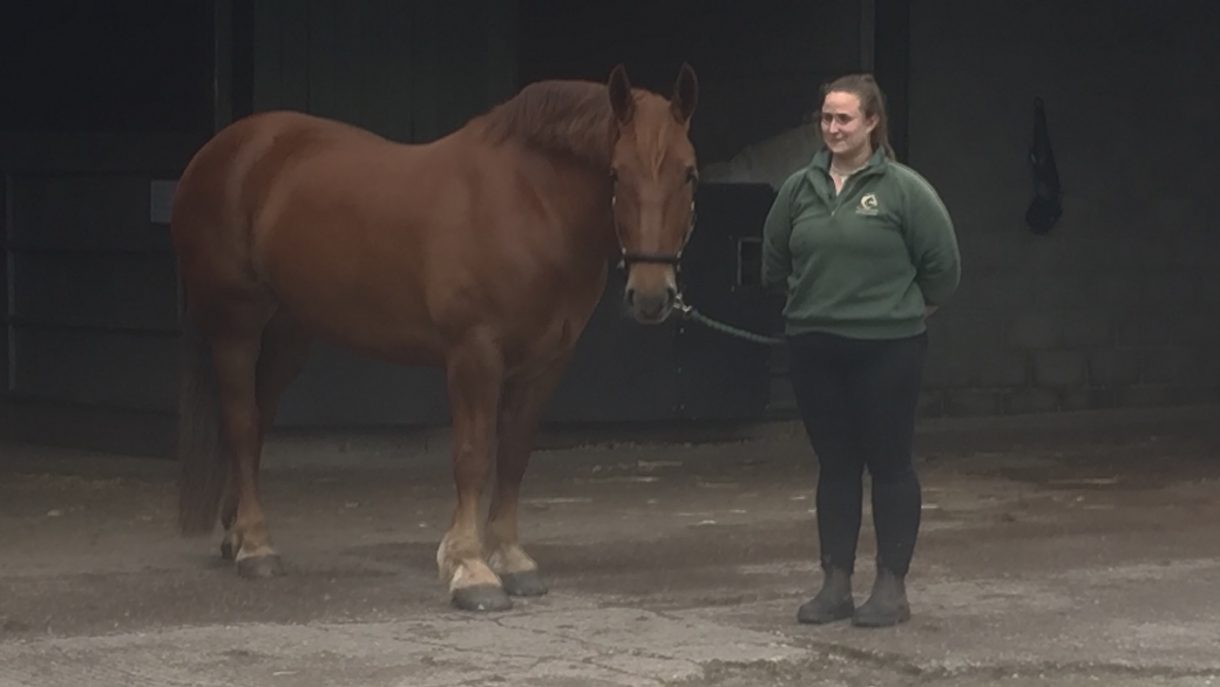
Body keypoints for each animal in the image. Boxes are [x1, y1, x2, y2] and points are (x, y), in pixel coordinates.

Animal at [171, 64, 700, 612]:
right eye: (616, 173)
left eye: (689, 172)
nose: (651, 295)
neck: (527, 203)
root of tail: (223, 151)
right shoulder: (474, 352)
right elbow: (472, 455)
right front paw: (470, 569)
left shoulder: (546, 362)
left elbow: (514, 453)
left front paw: (512, 559)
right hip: (236, 326)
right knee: (241, 421)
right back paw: (256, 547)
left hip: (289, 332)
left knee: (259, 417)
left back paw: (237, 535)